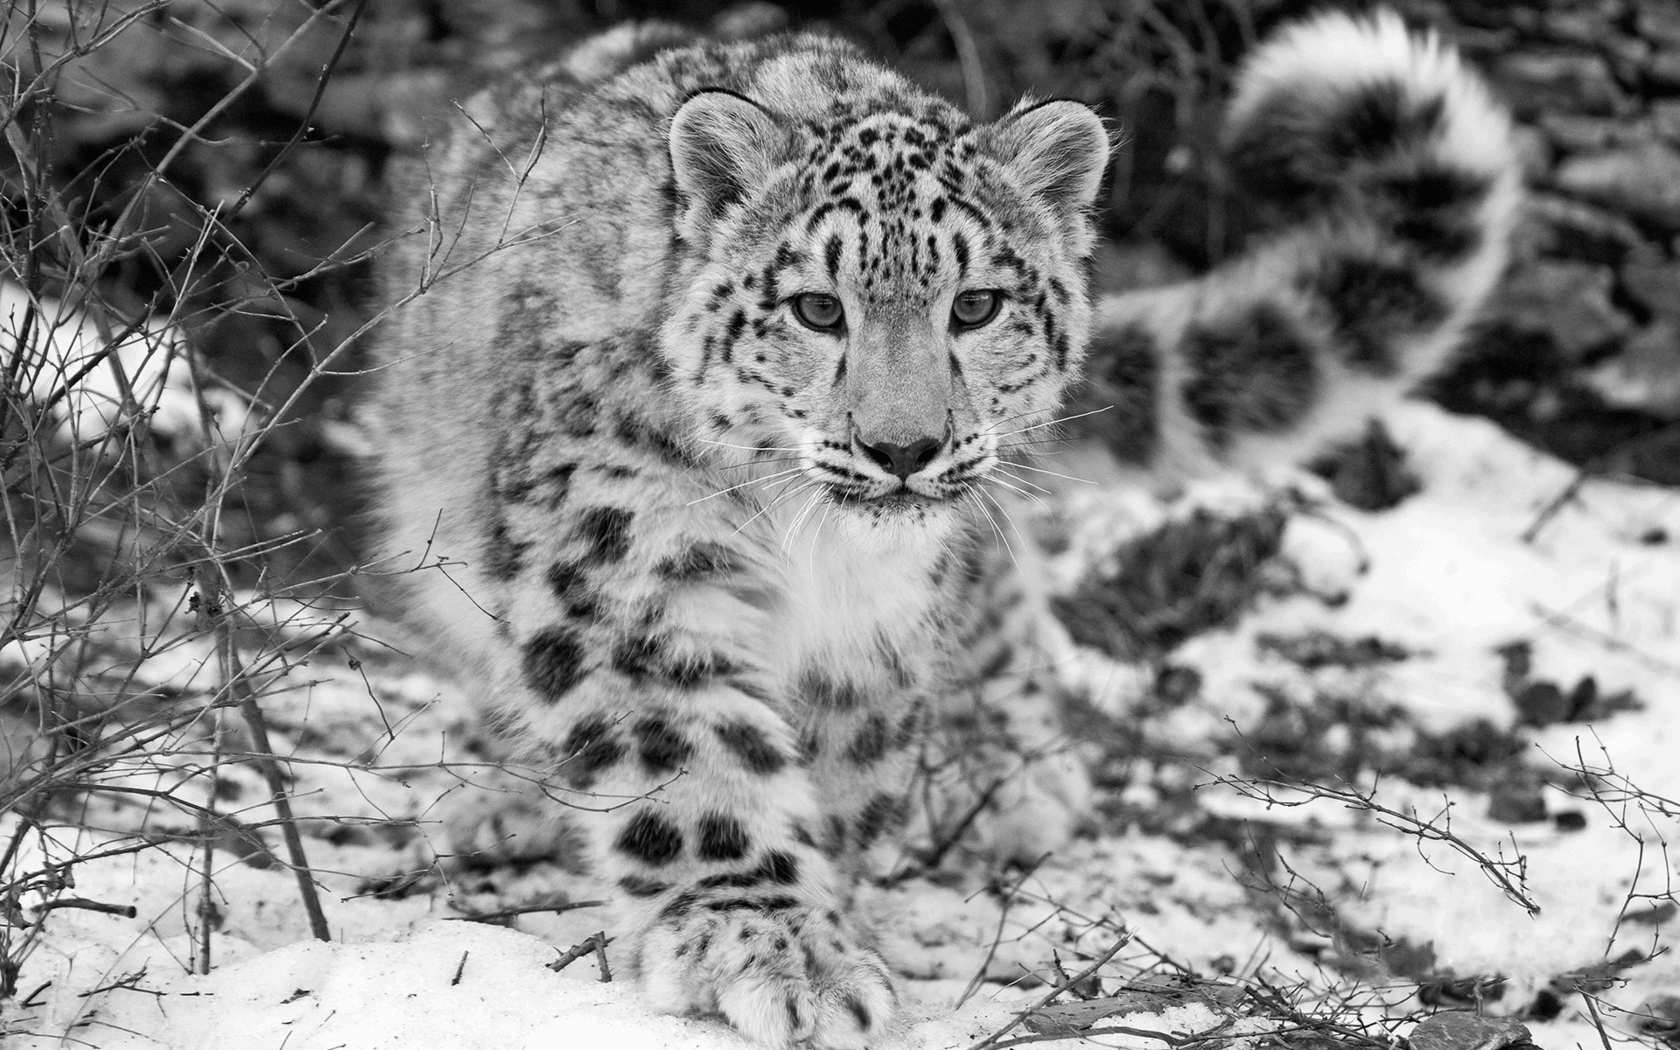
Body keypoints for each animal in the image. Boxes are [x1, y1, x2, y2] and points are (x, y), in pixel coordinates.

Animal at [368, 9, 1519, 1047]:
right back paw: (504, 803)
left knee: (1000, 602)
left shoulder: (875, 628)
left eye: (976, 306)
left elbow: (844, 776)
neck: (814, 551)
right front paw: (773, 948)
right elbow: (695, 760)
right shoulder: (632, 564)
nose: (904, 447)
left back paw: (1012, 776)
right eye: (815, 308)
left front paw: (834, 922)